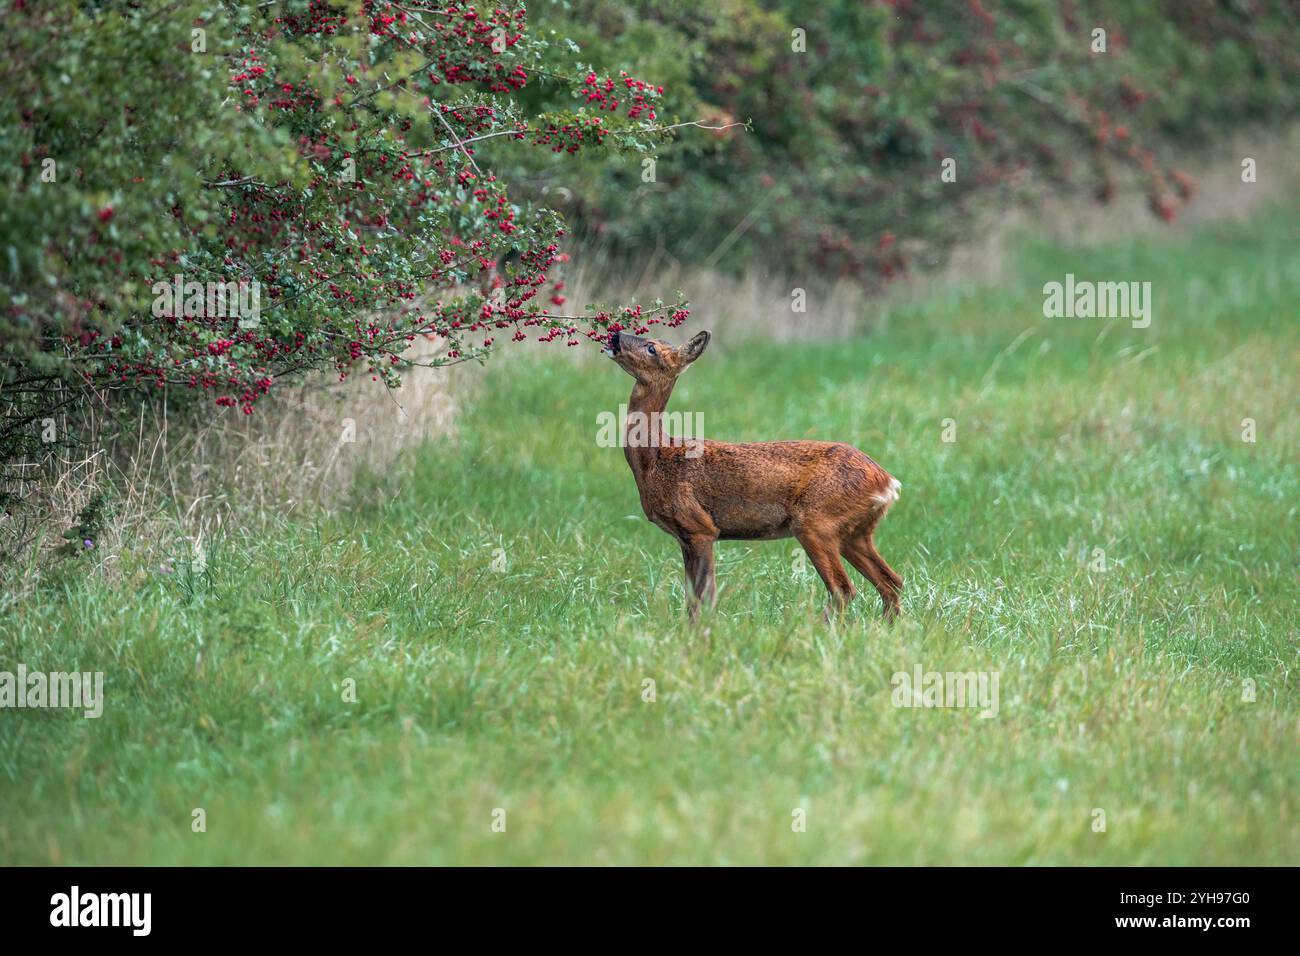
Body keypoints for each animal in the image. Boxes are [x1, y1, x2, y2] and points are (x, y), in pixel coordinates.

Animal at [605, 329, 902, 622]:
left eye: (651, 348)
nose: (615, 335)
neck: (657, 458)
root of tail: (887, 481)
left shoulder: (699, 527)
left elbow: (704, 595)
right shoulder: (685, 536)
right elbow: (693, 598)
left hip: (816, 522)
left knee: (844, 588)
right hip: (856, 532)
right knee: (891, 581)